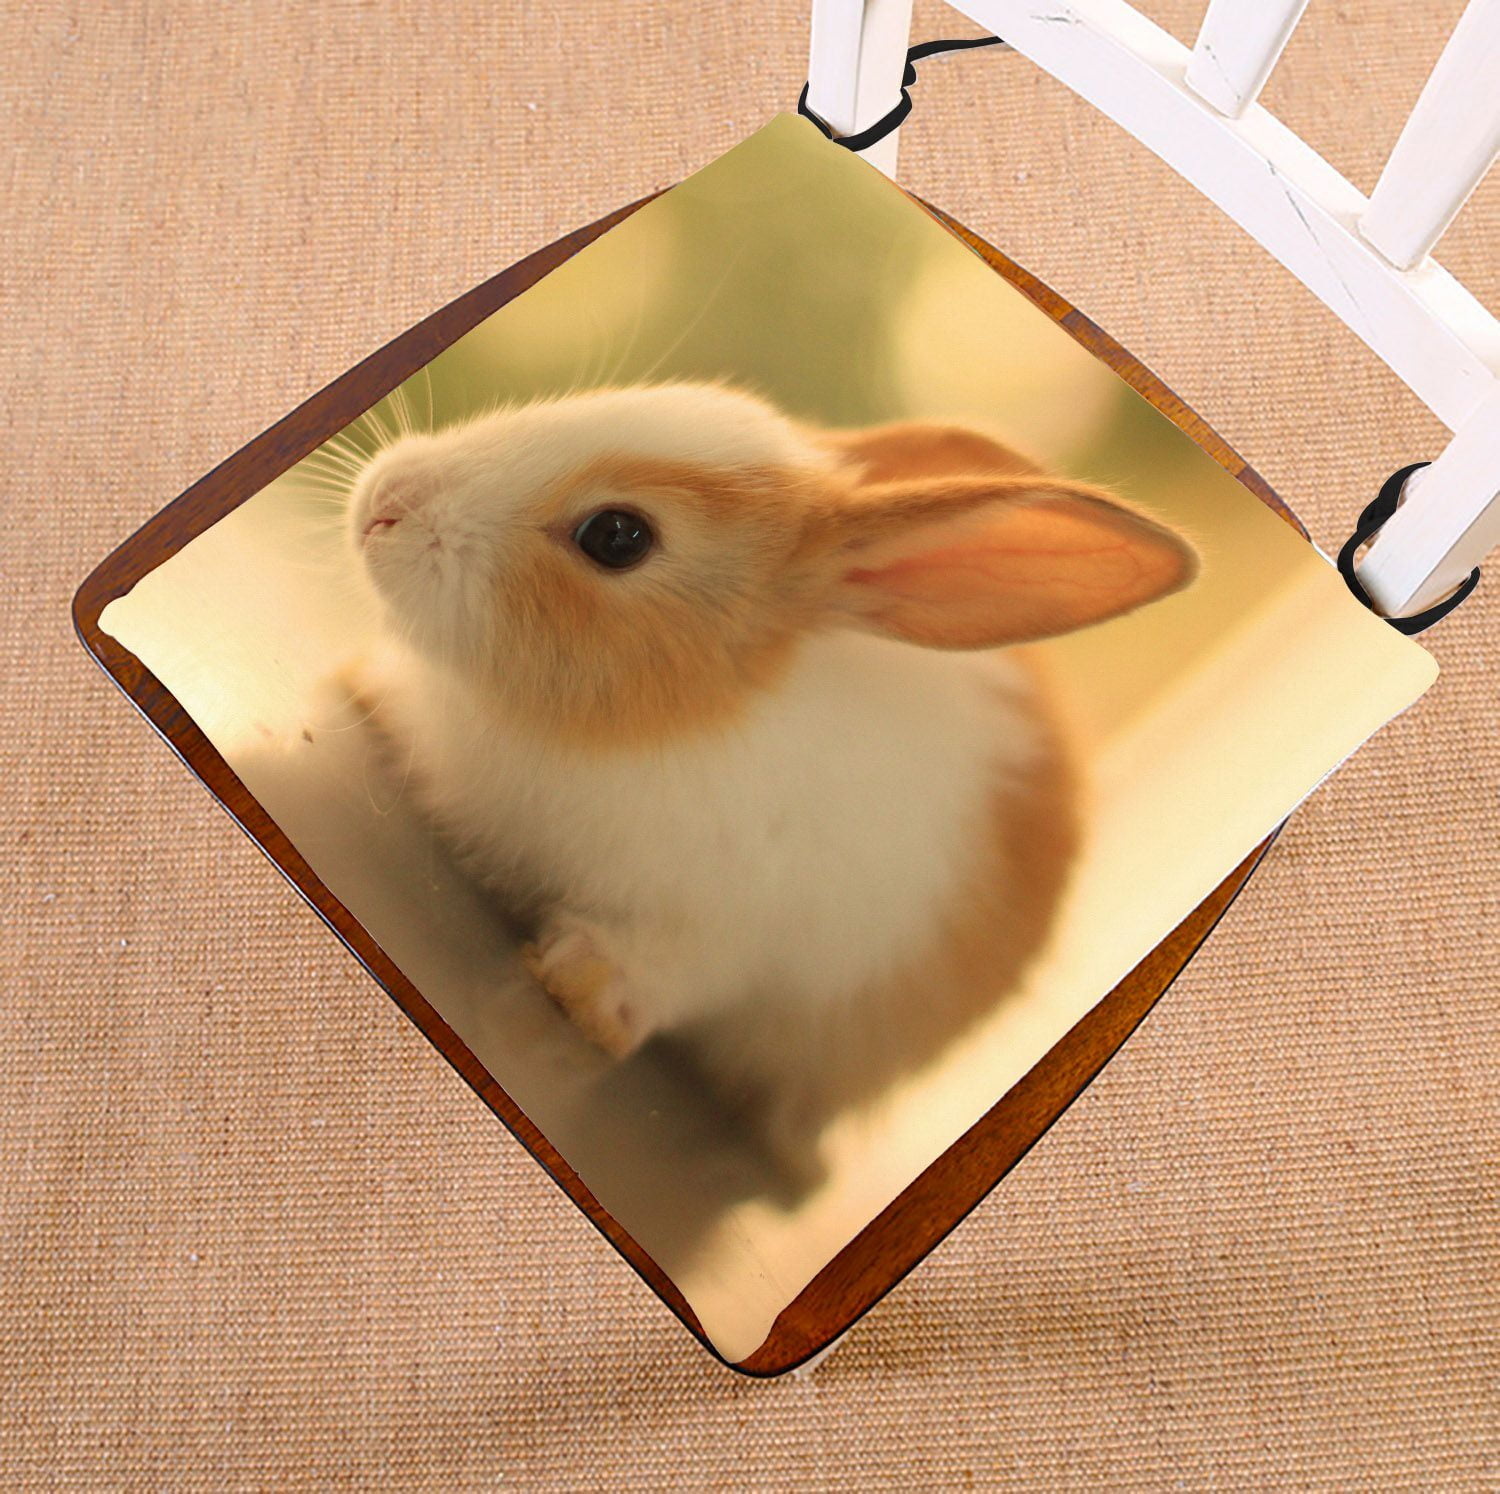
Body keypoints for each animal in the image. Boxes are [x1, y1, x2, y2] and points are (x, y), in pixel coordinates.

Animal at [343, 382, 1197, 1174]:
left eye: (616, 536)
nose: (386, 502)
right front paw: (365, 695)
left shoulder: (734, 930)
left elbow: (671, 973)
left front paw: (584, 987)